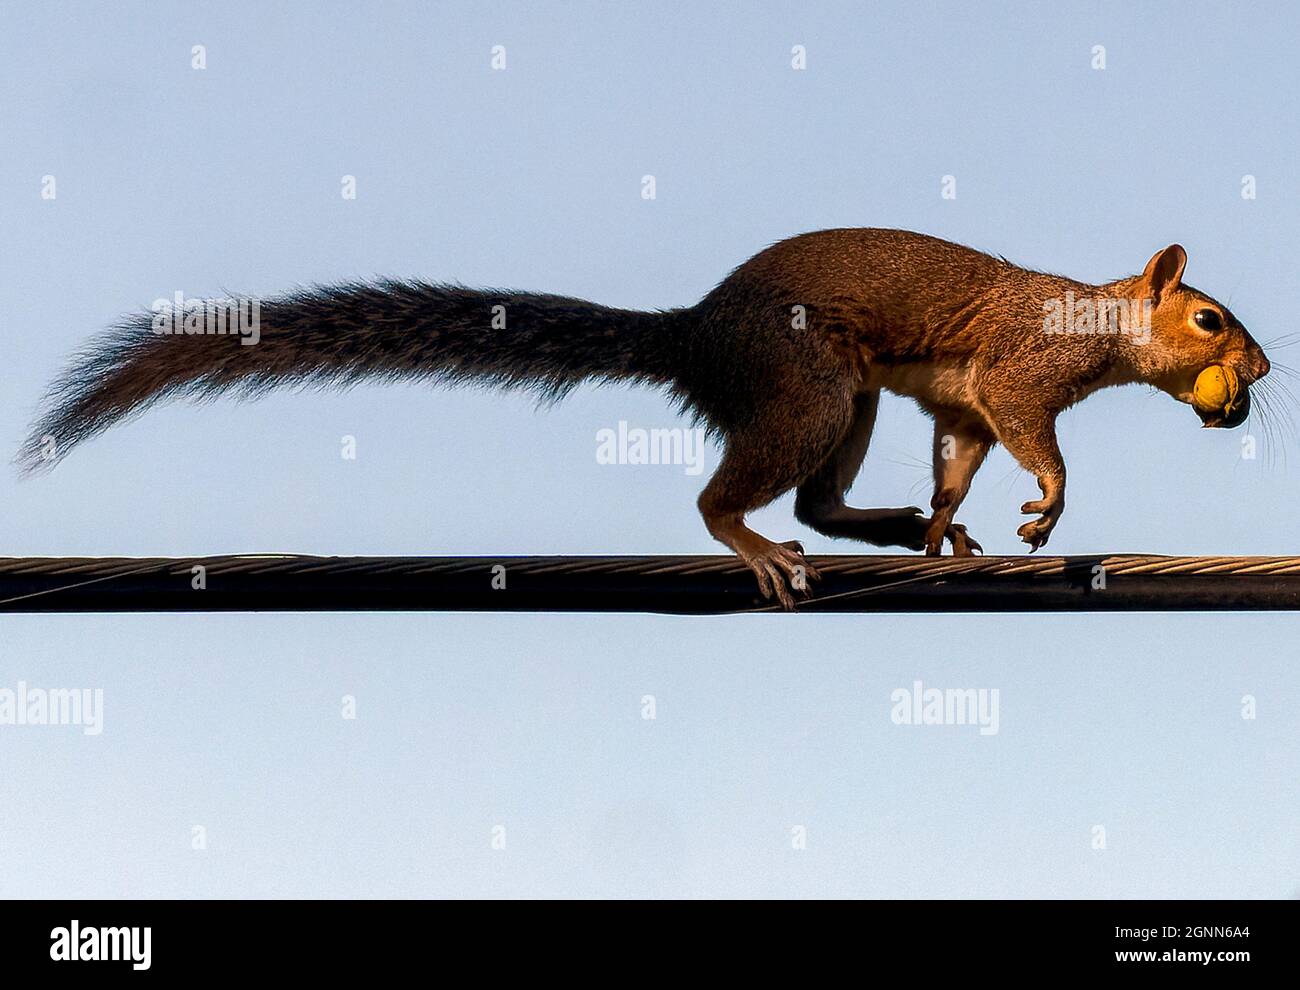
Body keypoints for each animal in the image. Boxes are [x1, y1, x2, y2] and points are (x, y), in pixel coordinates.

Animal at [18, 228, 1271, 608]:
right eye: (1208, 319)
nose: (1258, 368)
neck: (1095, 322)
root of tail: (692, 334)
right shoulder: (1018, 374)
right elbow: (1030, 436)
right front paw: (1046, 505)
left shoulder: (959, 404)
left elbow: (960, 455)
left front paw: (945, 526)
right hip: (809, 387)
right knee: (728, 495)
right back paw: (752, 544)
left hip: (850, 396)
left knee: (821, 496)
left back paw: (877, 527)